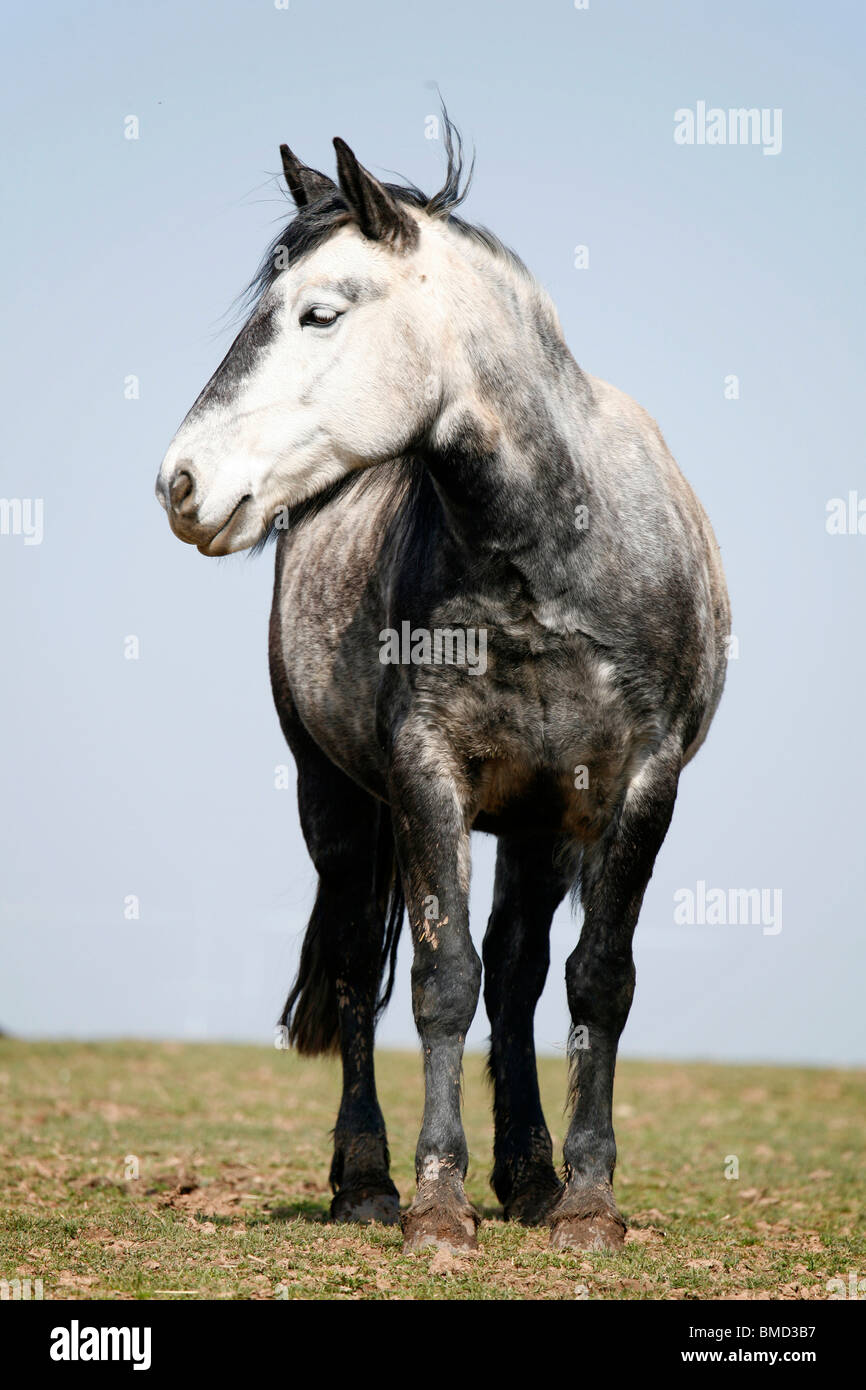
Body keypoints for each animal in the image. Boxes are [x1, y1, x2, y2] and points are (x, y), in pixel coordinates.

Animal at [156, 119, 730, 1254]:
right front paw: (435, 1204)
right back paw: (365, 1181)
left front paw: (586, 1203)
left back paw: (534, 1177)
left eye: (320, 311)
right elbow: (439, 980)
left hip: (539, 824)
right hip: (332, 797)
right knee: (357, 964)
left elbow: (596, 978)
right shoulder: (428, 776)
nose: (181, 483)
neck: (552, 557)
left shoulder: (639, 786)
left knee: (519, 974)